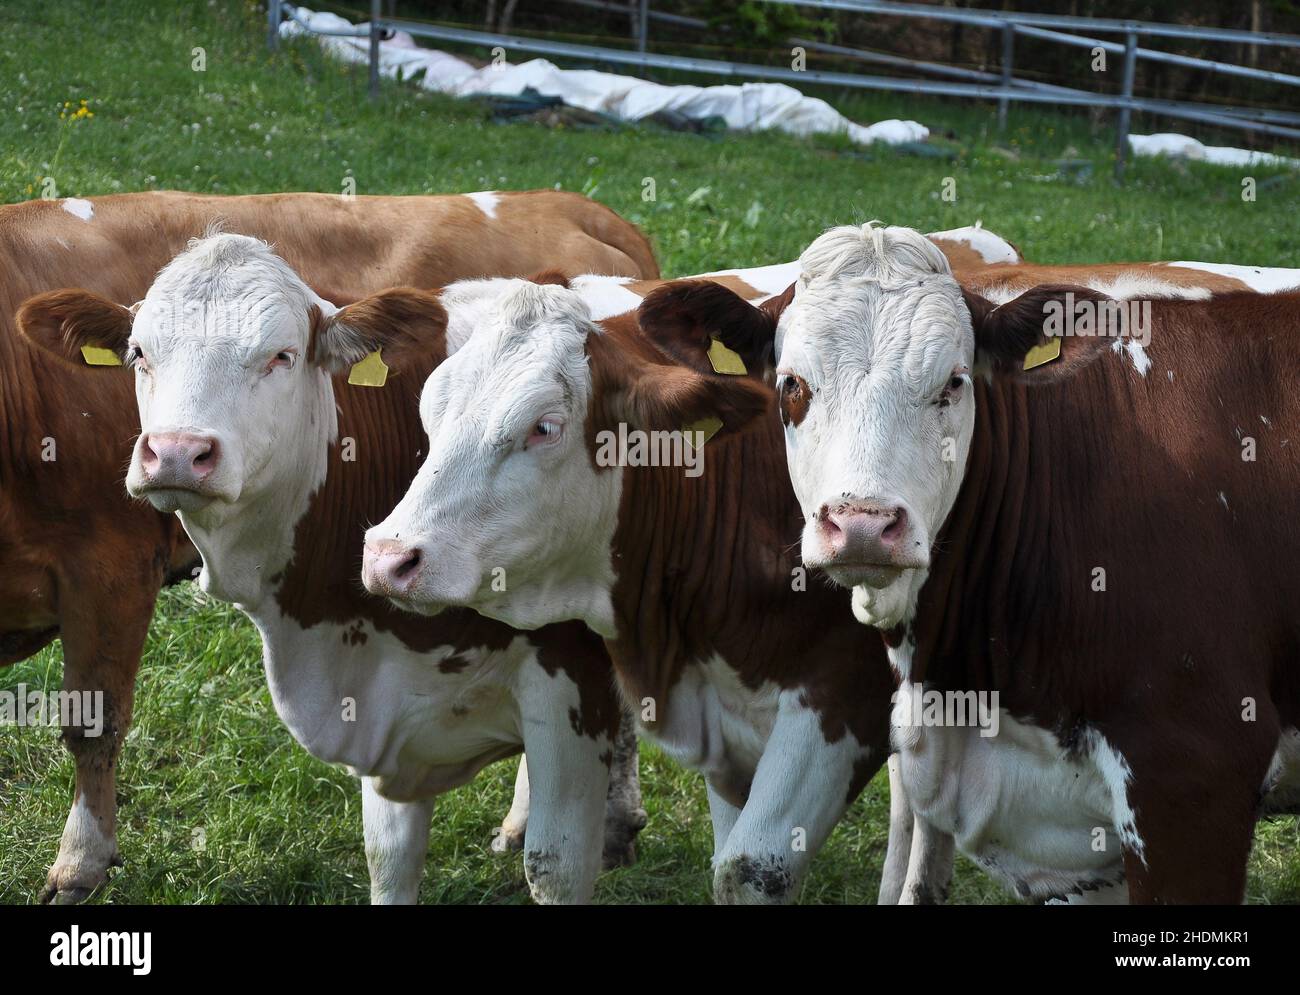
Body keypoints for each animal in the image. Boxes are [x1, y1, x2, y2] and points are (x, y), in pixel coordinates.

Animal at [2, 189, 657, 903]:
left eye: (282, 355)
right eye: (139, 354)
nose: (175, 454)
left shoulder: (108, 565)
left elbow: (92, 721)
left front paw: (79, 863)